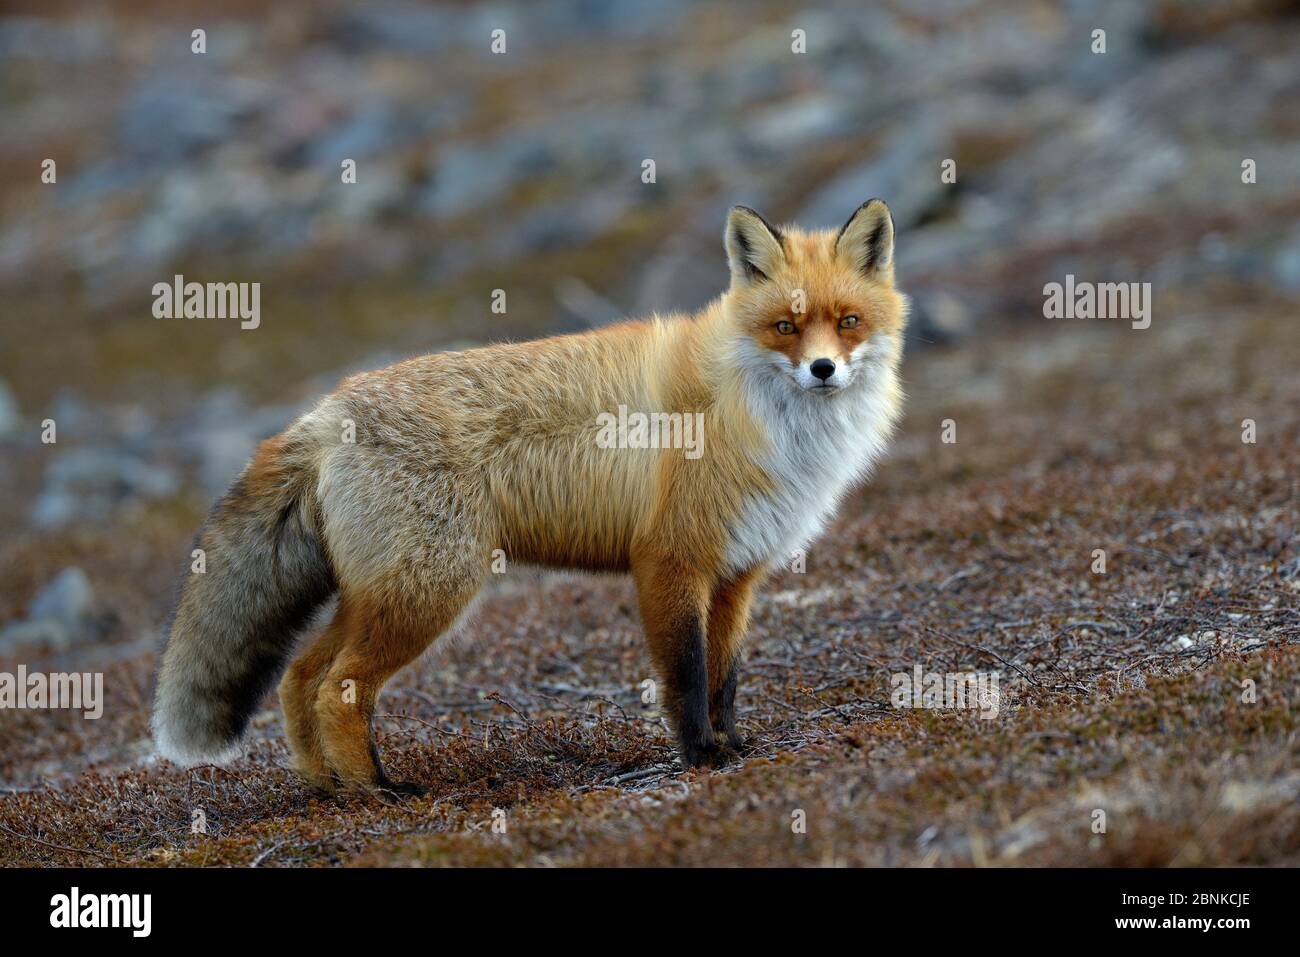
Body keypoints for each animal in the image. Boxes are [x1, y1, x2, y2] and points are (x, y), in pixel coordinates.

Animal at [152, 199, 907, 794]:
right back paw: (378, 790)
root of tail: (328, 407)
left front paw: (731, 744)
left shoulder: (736, 572)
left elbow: (724, 677)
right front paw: (700, 756)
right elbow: (688, 678)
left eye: (848, 321)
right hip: (428, 591)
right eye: (786, 326)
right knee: (339, 687)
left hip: (382, 593)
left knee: (299, 676)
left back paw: (324, 786)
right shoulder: (670, 561)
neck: (746, 408)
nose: (823, 369)